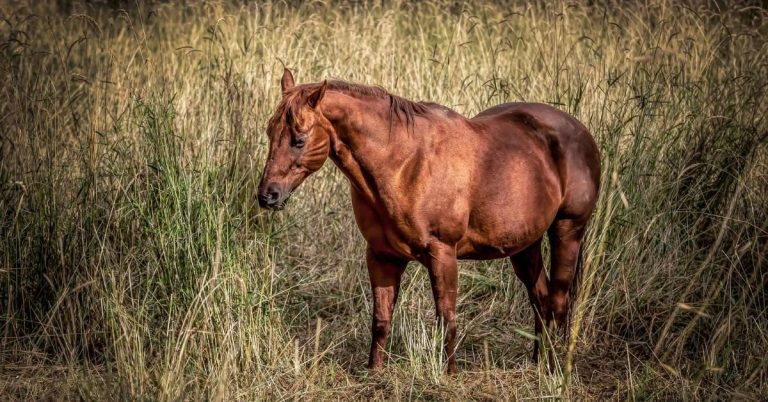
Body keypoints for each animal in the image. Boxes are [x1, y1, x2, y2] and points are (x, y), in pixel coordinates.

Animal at [257, 68, 600, 374]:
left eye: (299, 140)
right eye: (270, 132)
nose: (267, 195)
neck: (404, 164)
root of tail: (577, 130)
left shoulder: (442, 253)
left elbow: (446, 318)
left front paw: (449, 375)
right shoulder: (382, 256)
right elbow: (381, 319)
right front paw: (374, 373)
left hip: (567, 231)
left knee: (558, 301)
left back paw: (554, 369)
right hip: (524, 245)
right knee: (540, 298)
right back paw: (538, 362)